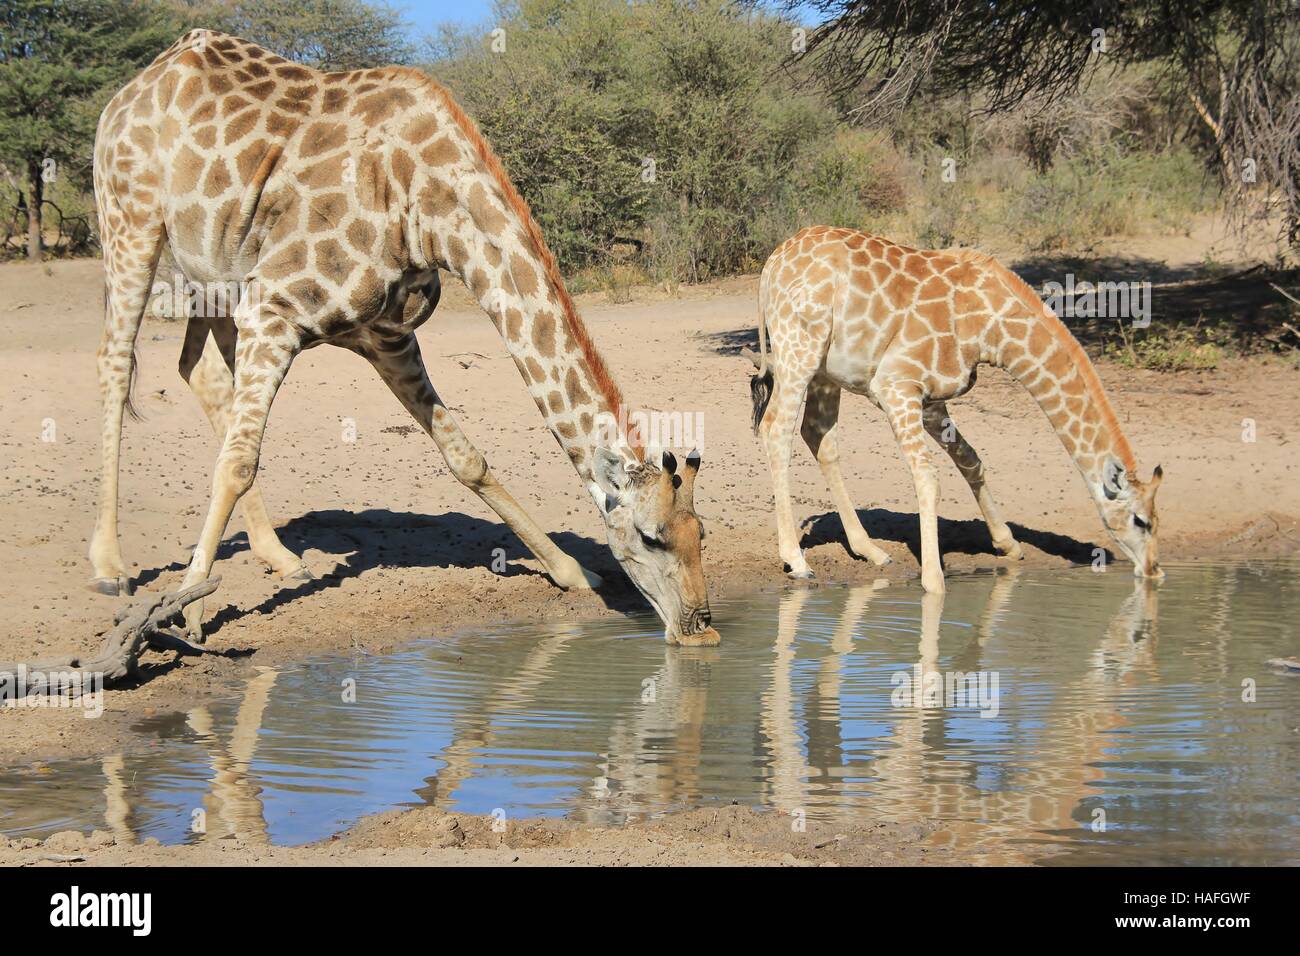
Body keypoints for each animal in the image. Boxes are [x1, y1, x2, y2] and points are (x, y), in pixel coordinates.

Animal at [88, 30, 719, 646]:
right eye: (652, 535)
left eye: (702, 532)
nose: (699, 627)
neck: (428, 210)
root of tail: (129, 90)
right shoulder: (274, 307)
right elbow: (238, 462)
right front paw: (192, 609)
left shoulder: (387, 337)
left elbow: (466, 457)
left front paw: (571, 570)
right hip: (131, 223)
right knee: (116, 367)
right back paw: (111, 566)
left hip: (215, 271)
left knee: (197, 369)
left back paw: (279, 555)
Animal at [747, 225, 1163, 593]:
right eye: (1141, 521)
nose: (1154, 570)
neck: (990, 327)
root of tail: (771, 266)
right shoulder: (896, 385)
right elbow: (929, 478)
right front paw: (934, 583)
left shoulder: (931, 397)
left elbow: (970, 460)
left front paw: (1008, 544)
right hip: (800, 349)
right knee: (776, 429)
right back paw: (797, 560)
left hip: (826, 369)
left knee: (818, 434)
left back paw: (871, 550)